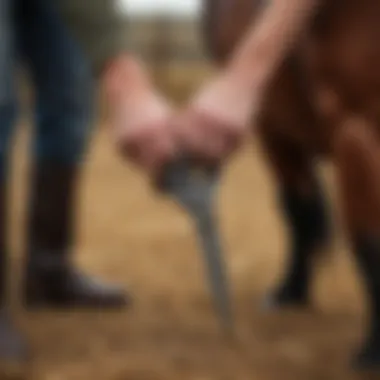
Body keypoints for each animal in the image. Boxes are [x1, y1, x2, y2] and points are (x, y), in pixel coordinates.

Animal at [202, 0, 380, 370]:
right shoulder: (353, 129)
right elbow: (368, 239)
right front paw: (373, 350)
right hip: (275, 131)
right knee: (298, 206)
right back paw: (291, 290)